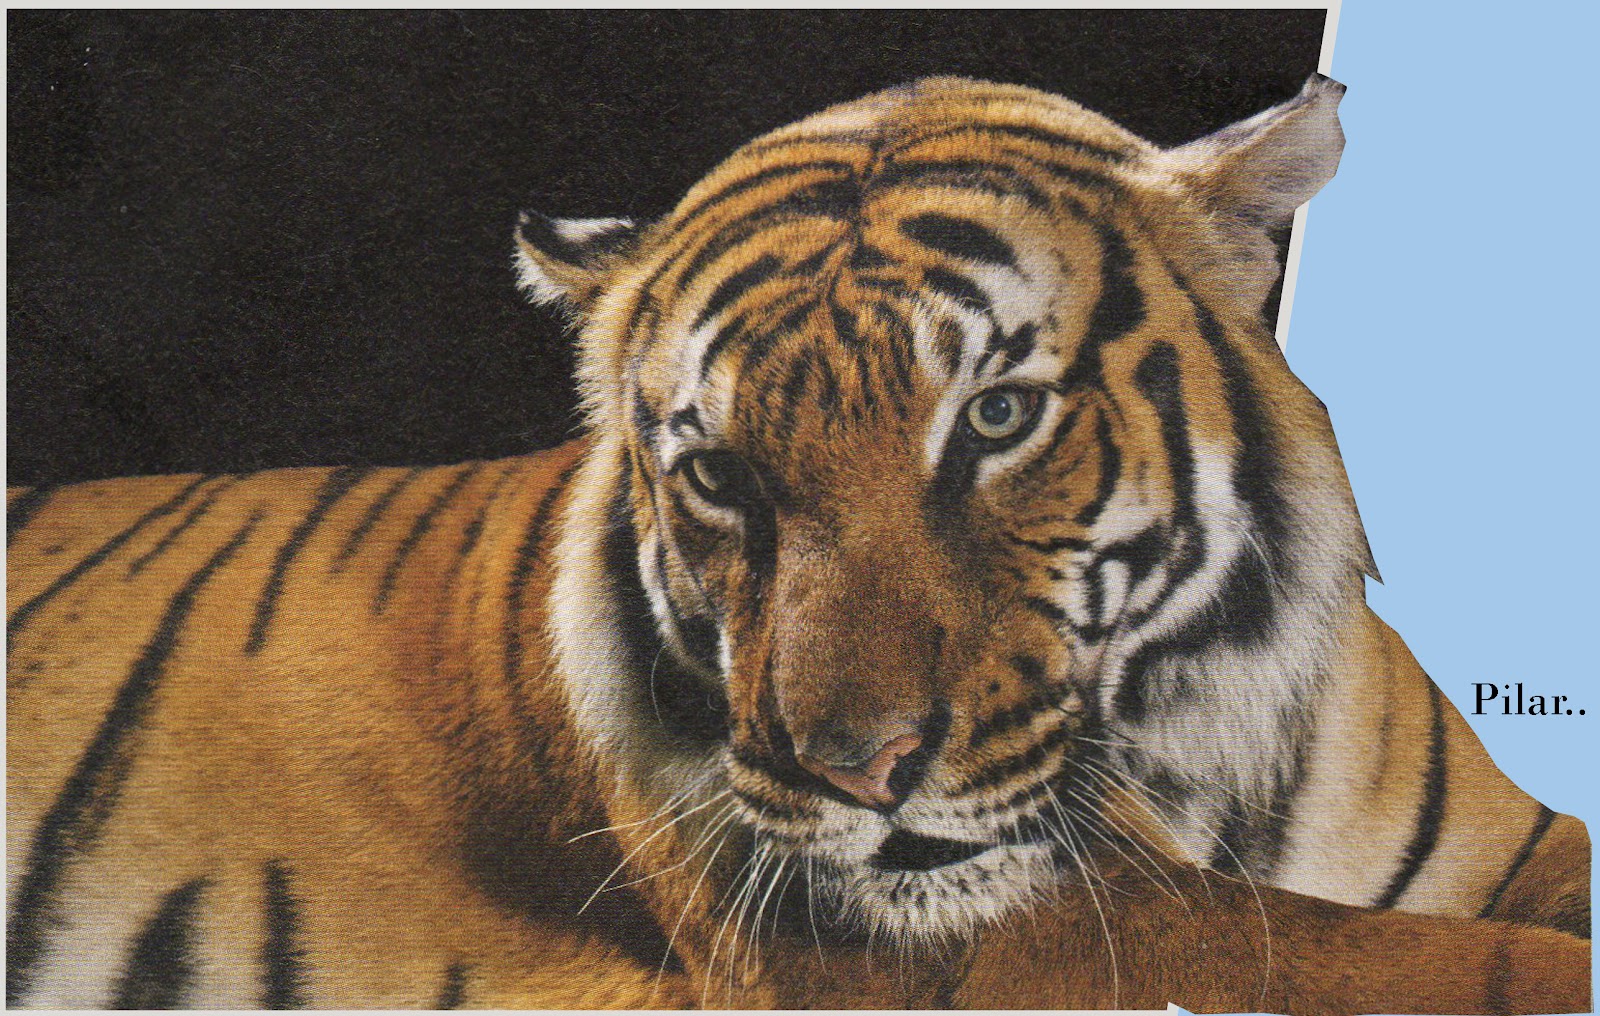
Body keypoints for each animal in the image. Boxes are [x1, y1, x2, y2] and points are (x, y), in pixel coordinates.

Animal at [6, 74, 1590, 1012]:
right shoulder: (991, 942)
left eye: (998, 414)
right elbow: (1384, 953)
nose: (857, 771)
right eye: (717, 473)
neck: (1210, 745)